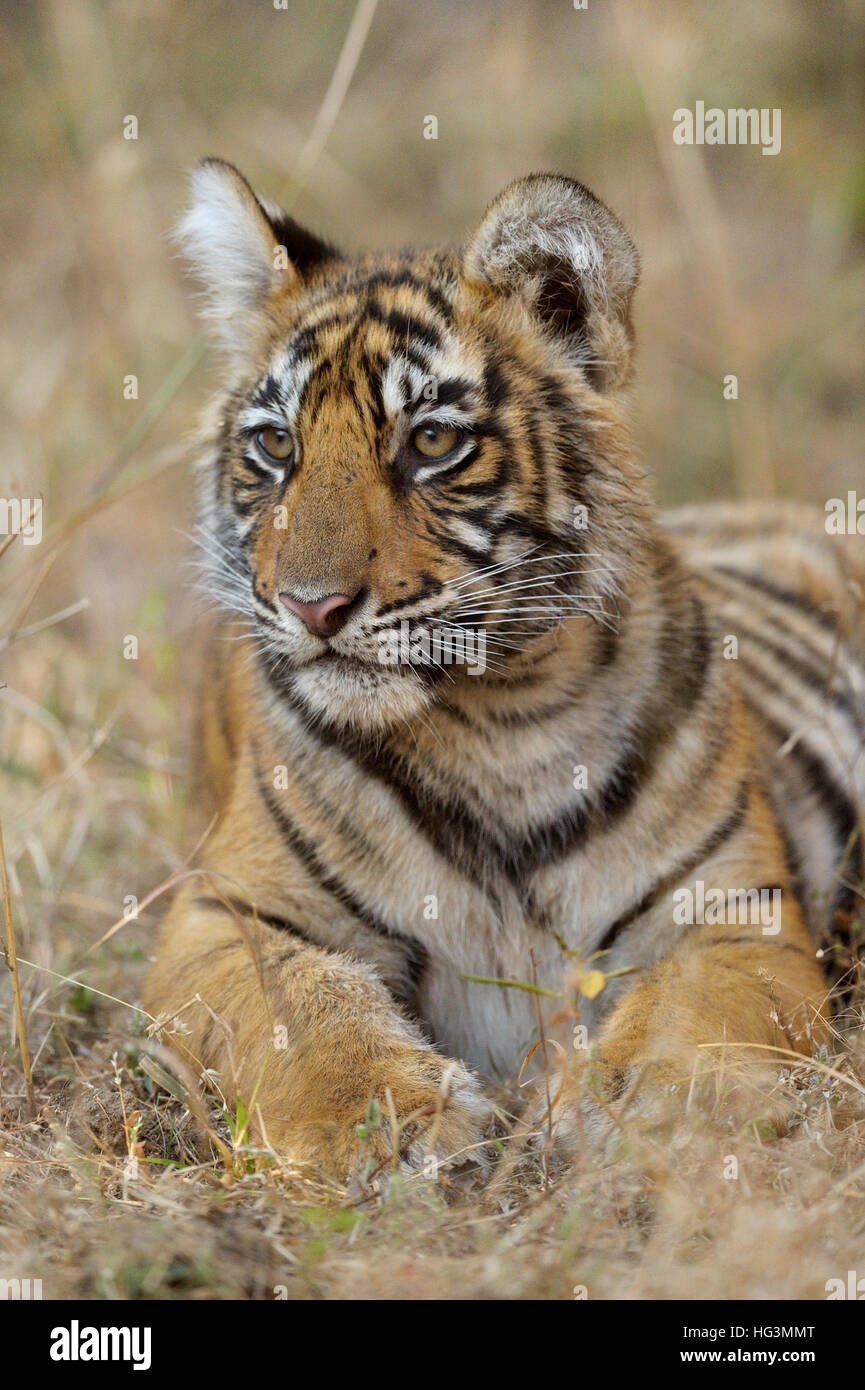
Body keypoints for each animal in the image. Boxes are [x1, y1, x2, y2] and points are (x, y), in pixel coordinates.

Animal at [143, 159, 865, 1178]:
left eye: (431, 442)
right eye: (276, 445)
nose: (310, 606)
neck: (501, 717)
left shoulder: (732, 910)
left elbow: (698, 1016)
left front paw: (646, 1108)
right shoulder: (224, 913)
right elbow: (303, 1014)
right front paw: (389, 1124)